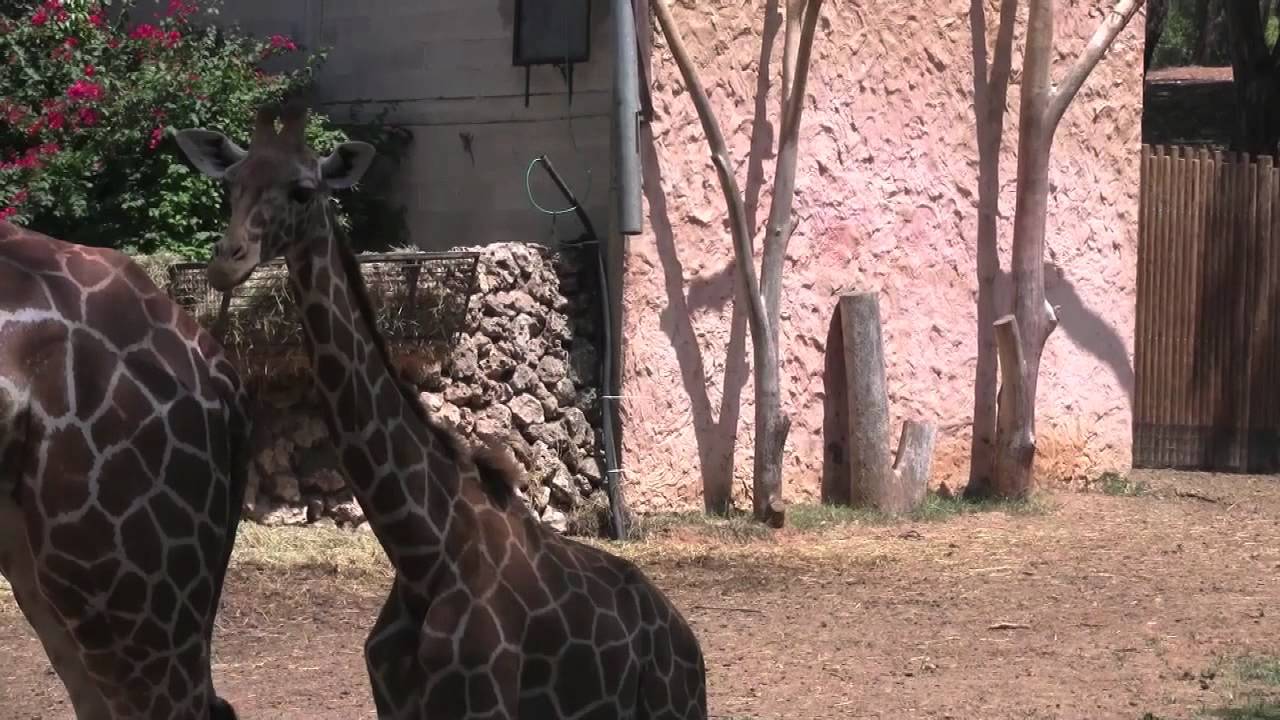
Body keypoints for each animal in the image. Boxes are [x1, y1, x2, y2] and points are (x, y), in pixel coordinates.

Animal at [175, 103, 708, 719]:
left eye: (303, 190)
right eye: (232, 184)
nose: (227, 263)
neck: (422, 553)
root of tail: (684, 639)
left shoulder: (483, 700)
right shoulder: (397, 701)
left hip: (673, 707)